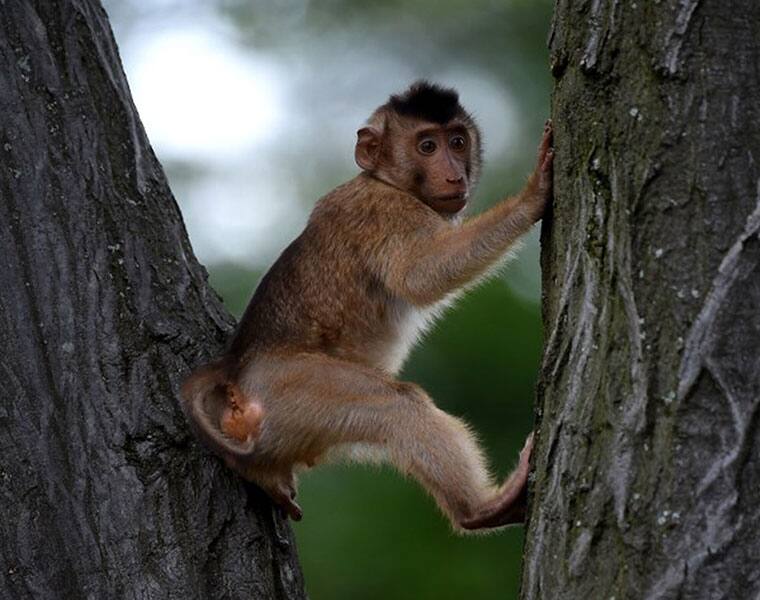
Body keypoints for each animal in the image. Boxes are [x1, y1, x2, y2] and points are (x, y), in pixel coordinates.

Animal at [181, 81, 553, 531]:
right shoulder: (381, 211)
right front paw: (533, 195)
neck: (386, 181)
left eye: (458, 142)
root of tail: (236, 368)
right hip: (292, 387)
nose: (454, 173)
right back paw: (481, 510)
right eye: (427, 146)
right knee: (399, 406)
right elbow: (421, 274)